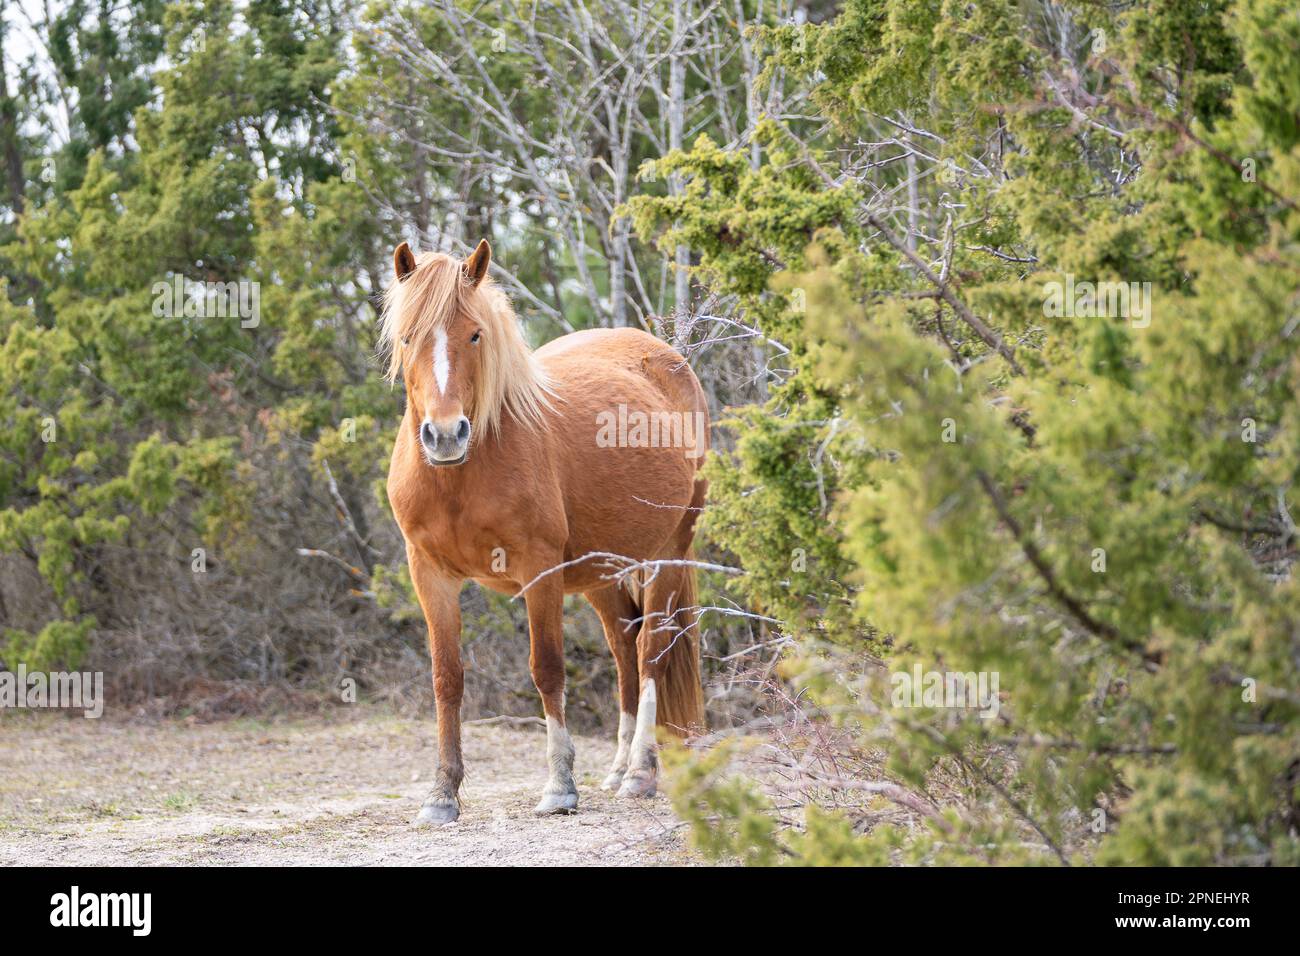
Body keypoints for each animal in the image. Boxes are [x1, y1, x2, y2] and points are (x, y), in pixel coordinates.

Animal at [382, 238, 709, 824]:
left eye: (475, 334)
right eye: (407, 335)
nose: (445, 435)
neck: (462, 475)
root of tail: (668, 360)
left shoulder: (539, 570)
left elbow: (548, 669)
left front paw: (559, 786)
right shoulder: (429, 574)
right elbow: (447, 678)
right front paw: (442, 793)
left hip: (669, 553)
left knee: (651, 648)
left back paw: (641, 773)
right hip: (602, 571)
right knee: (624, 648)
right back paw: (619, 768)